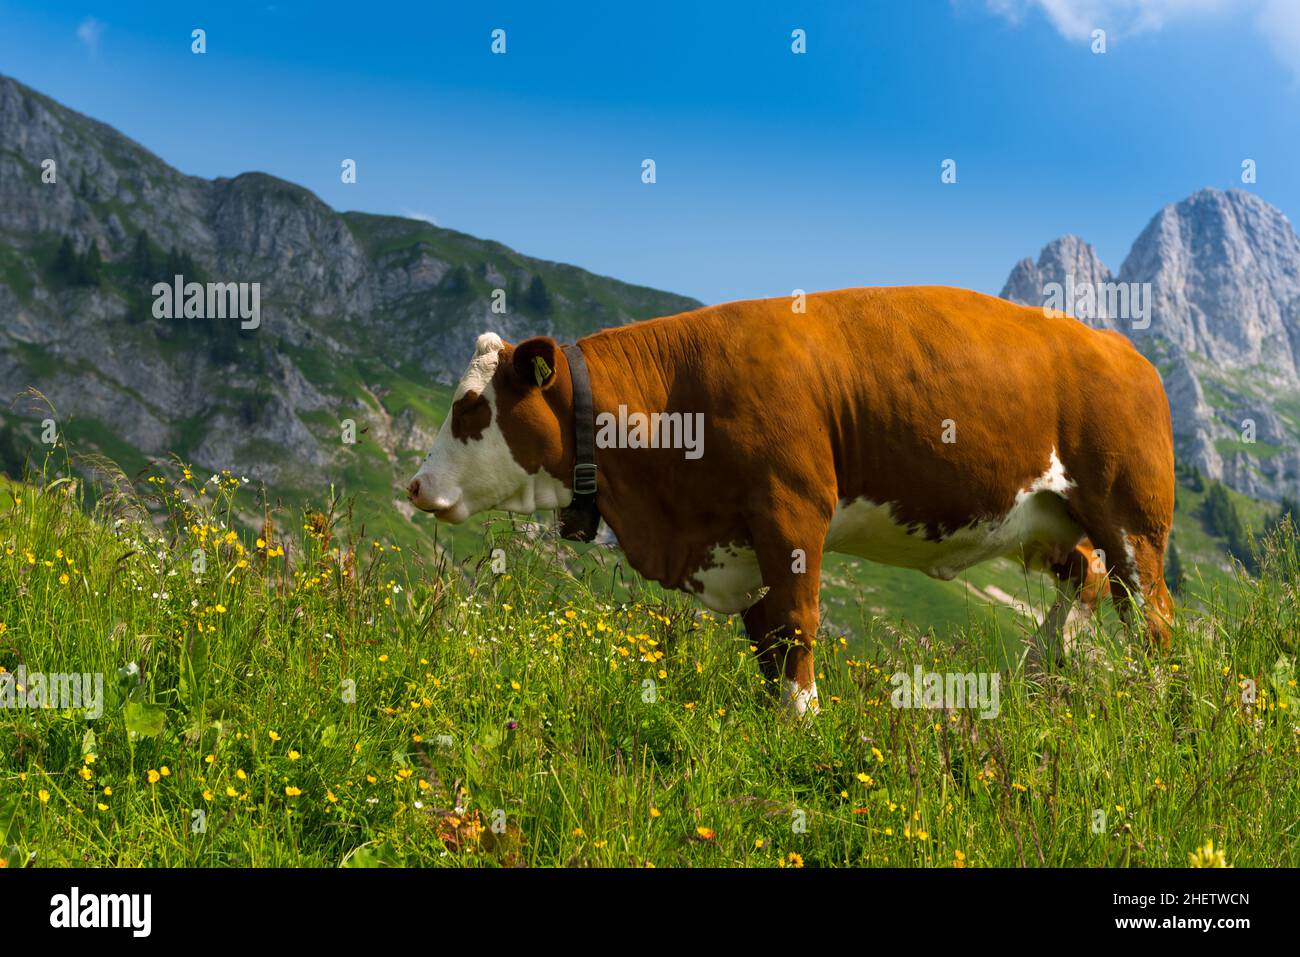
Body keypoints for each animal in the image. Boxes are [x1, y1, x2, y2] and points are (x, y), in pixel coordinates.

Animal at [407, 286, 1175, 716]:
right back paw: (1042, 668)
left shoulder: (792, 508)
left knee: (1155, 618)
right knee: (1086, 575)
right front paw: (769, 714)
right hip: (1045, 521)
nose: (414, 486)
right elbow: (765, 633)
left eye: (470, 408)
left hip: (1131, 519)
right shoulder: (739, 539)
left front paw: (802, 717)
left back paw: (1162, 706)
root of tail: (1119, 347)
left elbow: (799, 621)